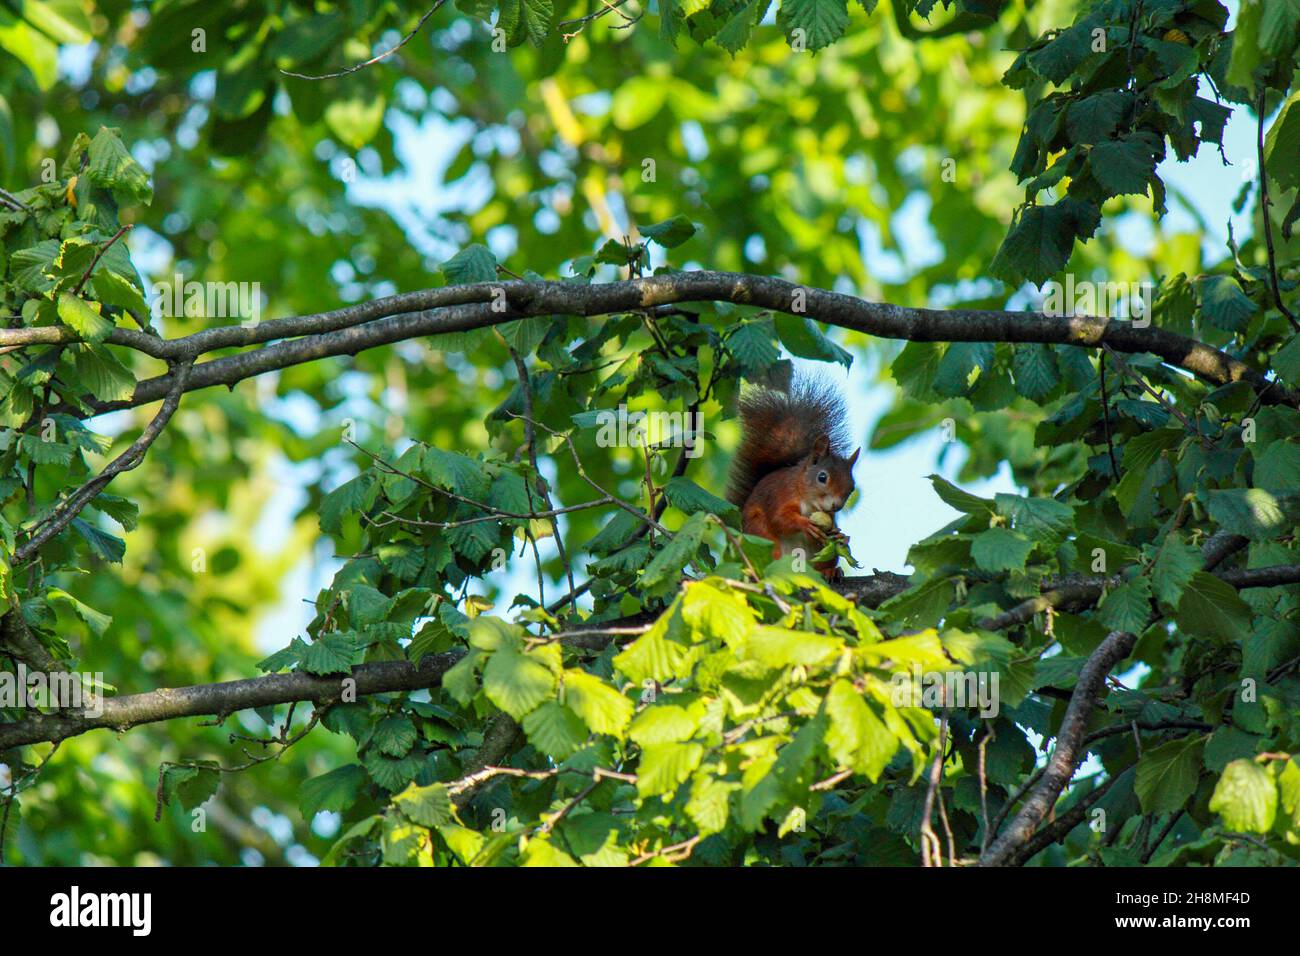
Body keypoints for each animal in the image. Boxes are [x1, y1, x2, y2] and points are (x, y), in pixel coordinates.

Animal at [726, 374, 859, 581]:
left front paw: (840, 537)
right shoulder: (780, 493)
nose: (836, 505)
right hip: (761, 538)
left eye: (852, 487)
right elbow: (779, 518)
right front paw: (805, 524)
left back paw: (830, 571)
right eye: (822, 477)